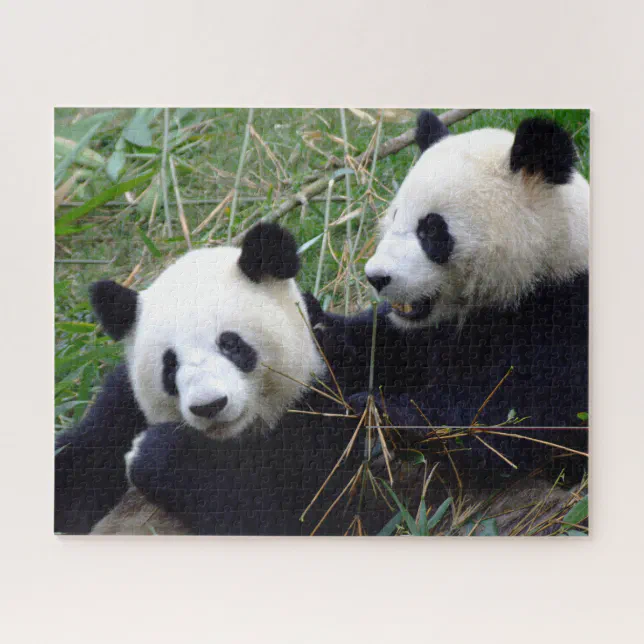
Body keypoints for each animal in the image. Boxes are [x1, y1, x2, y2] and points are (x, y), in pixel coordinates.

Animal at [314, 110, 589, 487]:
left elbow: (519, 422)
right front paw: (318, 327)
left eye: (431, 229)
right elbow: (377, 345)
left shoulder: (565, 316)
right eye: (395, 216)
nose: (376, 277)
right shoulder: (424, 333)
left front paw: (389, 413)